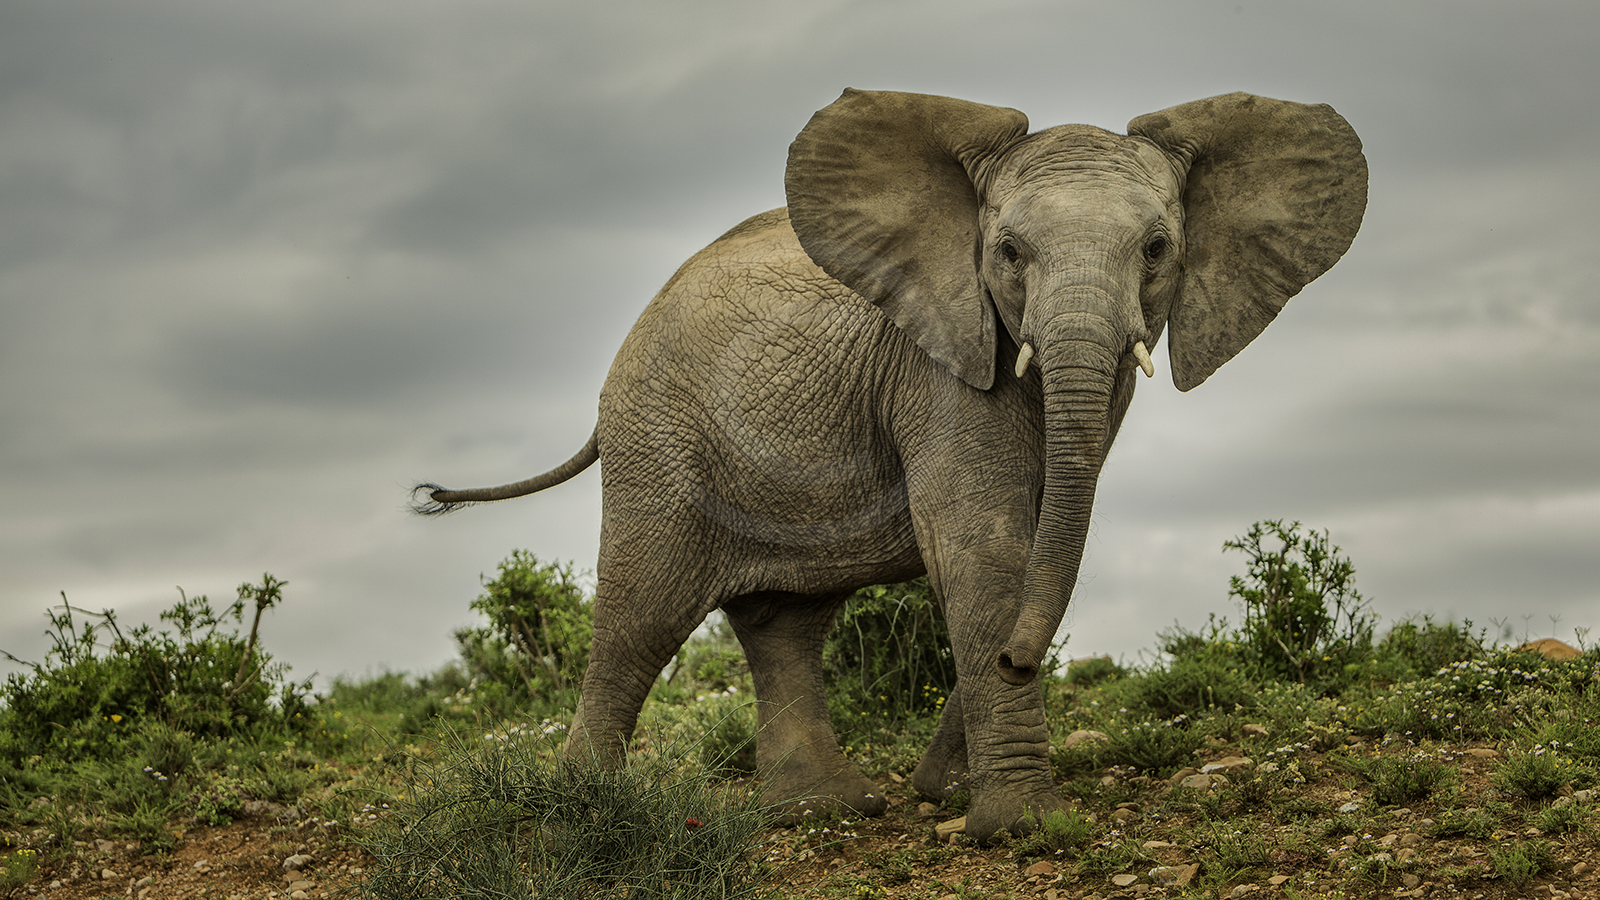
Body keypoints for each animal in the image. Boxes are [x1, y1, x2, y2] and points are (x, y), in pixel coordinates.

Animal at [415, 89, 1367, 843]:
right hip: (658, 438)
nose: (1017, 662)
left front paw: (952, 788)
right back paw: (582, 809)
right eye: (1008, 253)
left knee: (783, 621)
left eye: (1158, 249)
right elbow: (982, 546)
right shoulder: (937, 368)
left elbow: (1042, 533)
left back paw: (826, 810)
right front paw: (1018, 827)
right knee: (640, 611)